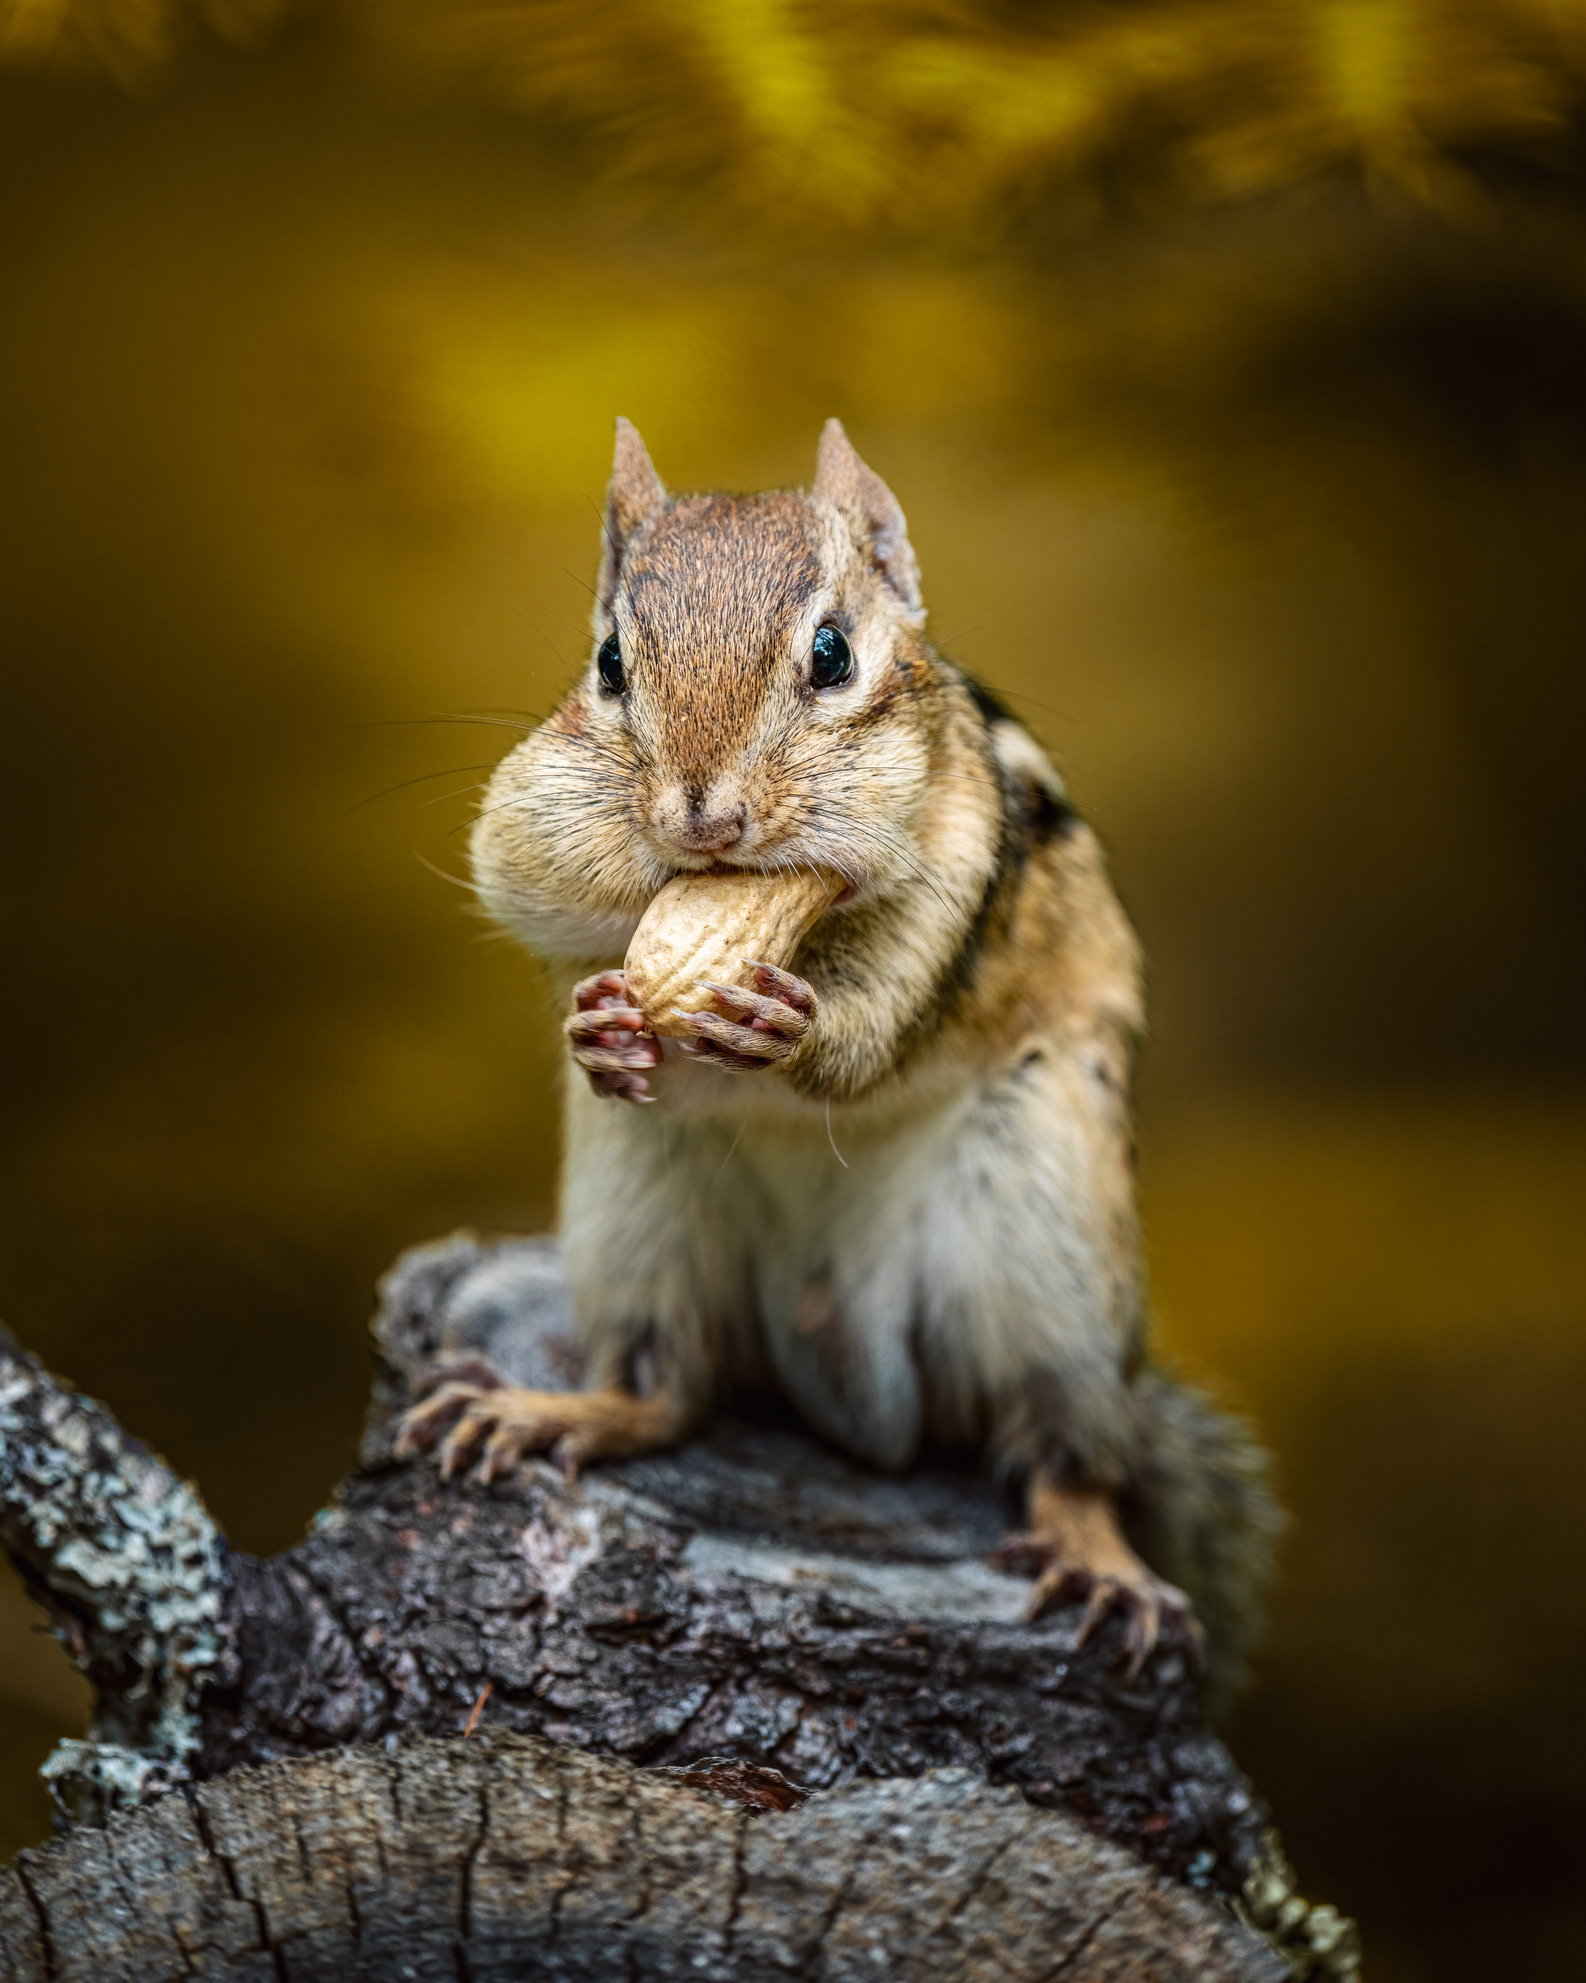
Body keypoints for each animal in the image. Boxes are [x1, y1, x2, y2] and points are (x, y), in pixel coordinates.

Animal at [398, 417, 1280, 1698]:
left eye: (831, 654)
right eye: (609, 664)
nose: (704, 821)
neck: (776, 913)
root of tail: (839, 1362)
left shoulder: (959, 867)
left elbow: (875, 1033)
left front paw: (796, 1030)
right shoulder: (533, 825)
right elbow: (533, 904)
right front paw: (598, 1023)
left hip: (1045, 1242)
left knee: (1060, 1458)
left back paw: (1097, 1555)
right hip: (639, 1216)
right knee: (672, 1394)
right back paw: (553, 1412)